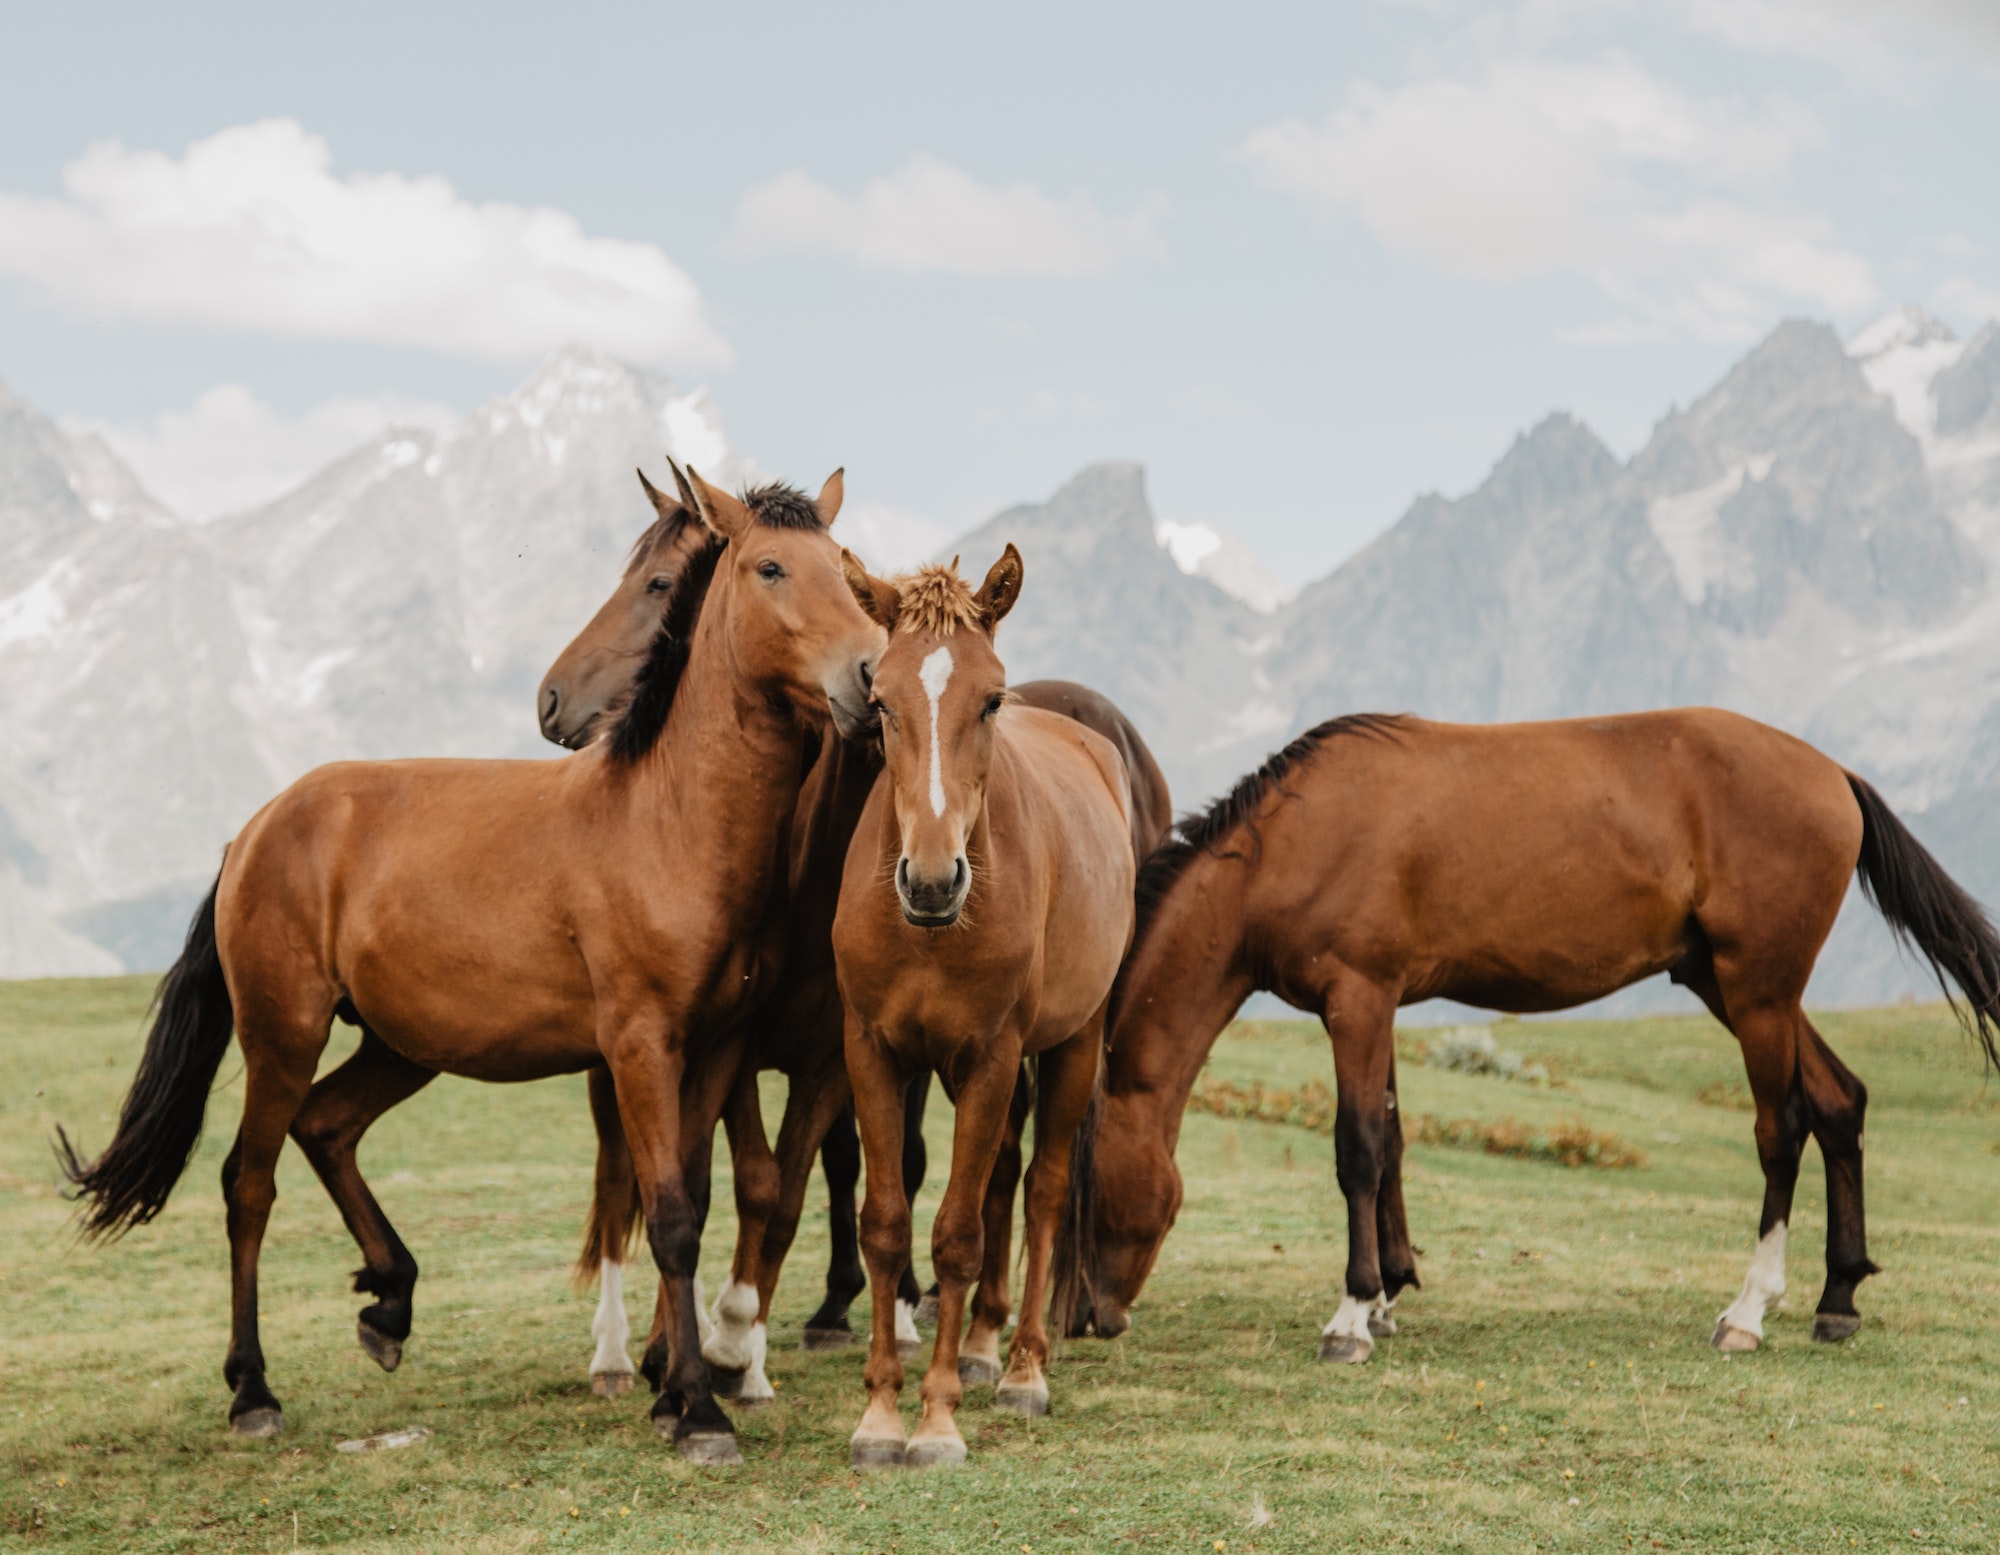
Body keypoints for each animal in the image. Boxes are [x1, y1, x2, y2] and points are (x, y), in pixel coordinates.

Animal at [57, 465, 884, 1466]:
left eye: (845, 570)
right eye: (771, 567)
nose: (871, 673)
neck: (668, 816)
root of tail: (257, 827)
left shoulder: (716, 1049)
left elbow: (689, 1199)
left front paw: (669, 1385)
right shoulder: (642, 1045)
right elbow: (672, 1218)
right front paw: (697, 1408)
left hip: (400, 1046)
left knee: (327, 1127)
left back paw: (390, 1302)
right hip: (281, 1036)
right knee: (247, 1186)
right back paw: (254, 1389)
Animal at [834, 549, 1136, 1470]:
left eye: (991, 698)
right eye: (881, 698)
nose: (933, 880)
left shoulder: (996, 1055)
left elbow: (959, 1235)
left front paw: (934, 1421)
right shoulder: (874, 1052)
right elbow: (887, 1225)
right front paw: (880, 1414)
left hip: (1074, 1041)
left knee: (1041, 1189)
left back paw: (1023, 1367)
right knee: (1003, 1176)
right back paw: (977, 1347)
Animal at [1053, 709, 2000, 1364]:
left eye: (1087, 1186)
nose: (1083, 1318)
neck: (1292, 837)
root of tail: (1832, 772)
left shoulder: (1356, 999)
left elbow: (1358, 1149)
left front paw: (1352, 1315)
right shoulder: (1381, 1005)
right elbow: (1393, 1141)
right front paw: (1390, 1292)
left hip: (1758, 992)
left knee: (1785, 1129)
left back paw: (1749, 1309)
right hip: (1735, 985)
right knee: (1841, 1104)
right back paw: (1838, 1297)